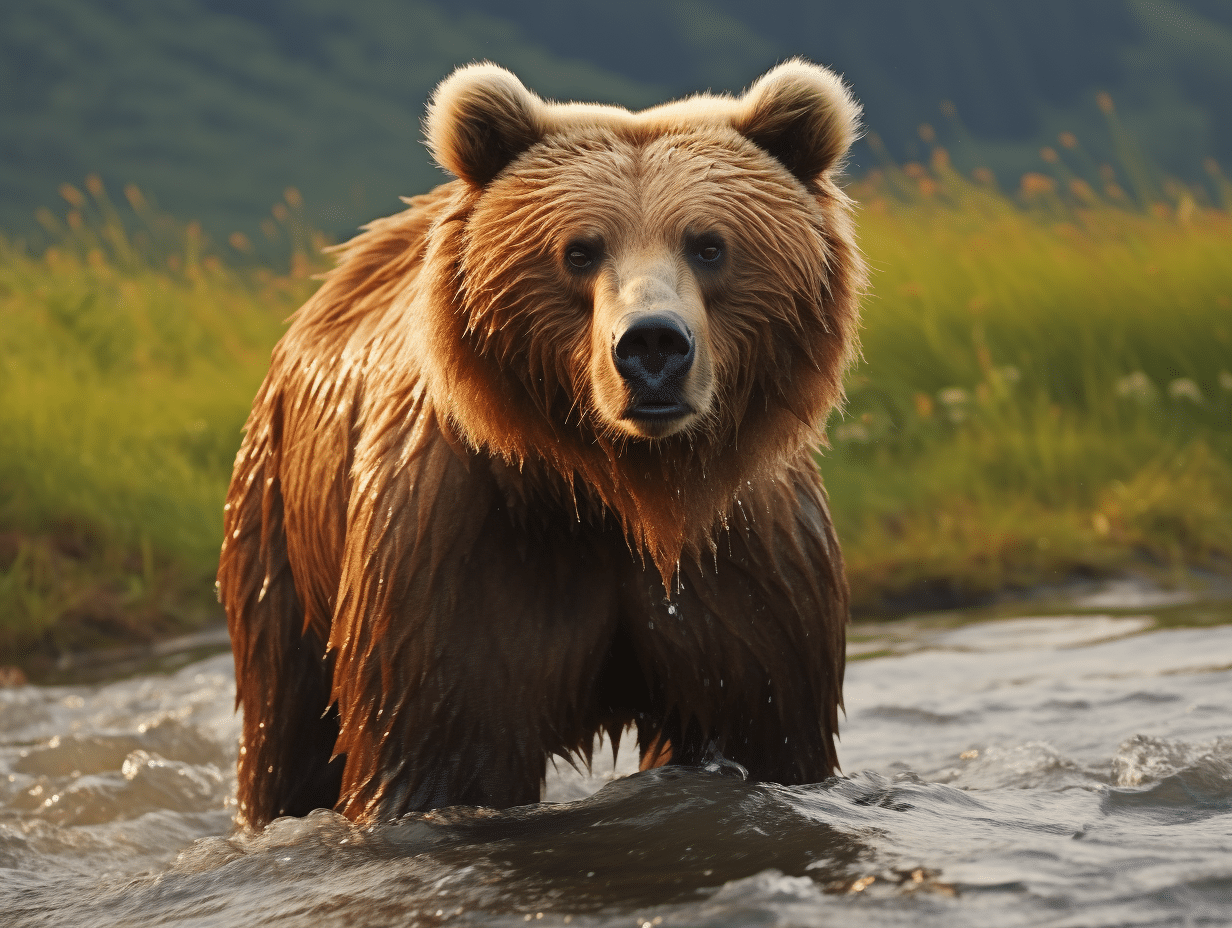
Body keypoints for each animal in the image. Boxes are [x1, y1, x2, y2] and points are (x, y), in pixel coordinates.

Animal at [218, 59, 865, 829]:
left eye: (710, 244)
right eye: (579, 250)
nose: (652, 346)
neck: (621, 495)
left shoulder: (747, 567)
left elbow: (767, 727)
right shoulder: (460, 552)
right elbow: (439, 752)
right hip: (280, 522)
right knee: (286, 721)